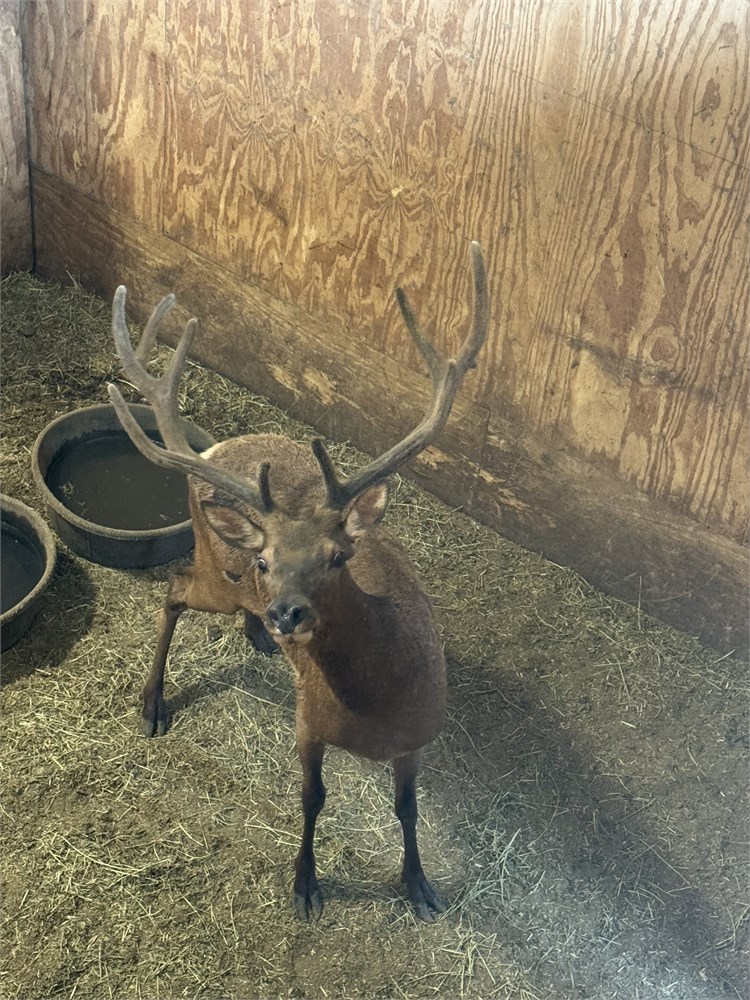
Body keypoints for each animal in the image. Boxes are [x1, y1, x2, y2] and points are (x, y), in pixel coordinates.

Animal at [107, 242, 488, 923]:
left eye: (339, 556)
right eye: (265, 560)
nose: (287, 611)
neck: (372, 710)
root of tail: (211, 453)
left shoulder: (418, 736)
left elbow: (407, 808)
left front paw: (418, 884)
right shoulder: (308, 720)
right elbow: (313, 798)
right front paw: (305, 884)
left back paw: (255, 638)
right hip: (216, 575)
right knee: (173, 588)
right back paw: (153, 703)